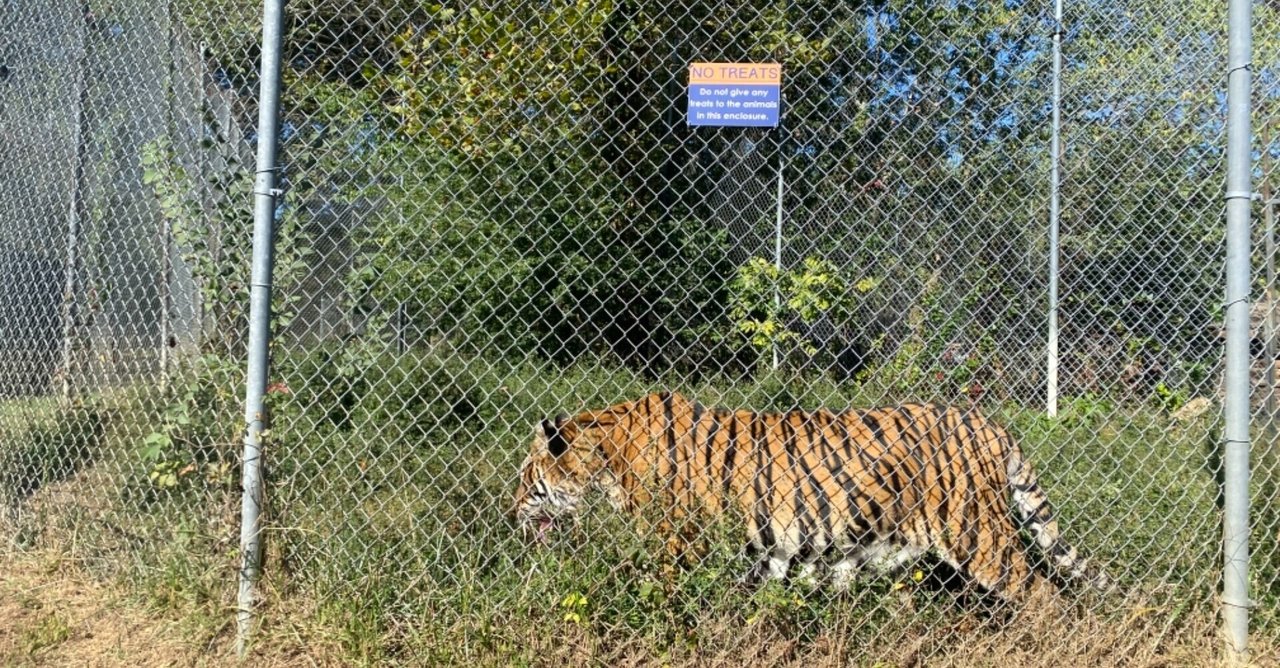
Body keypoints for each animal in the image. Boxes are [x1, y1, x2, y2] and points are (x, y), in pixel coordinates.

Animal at [512, 391, 1107, 600]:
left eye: (525, 478)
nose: (509, 509)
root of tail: (985, 420)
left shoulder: (674, 542)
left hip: (977, 533)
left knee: (1042, 597)